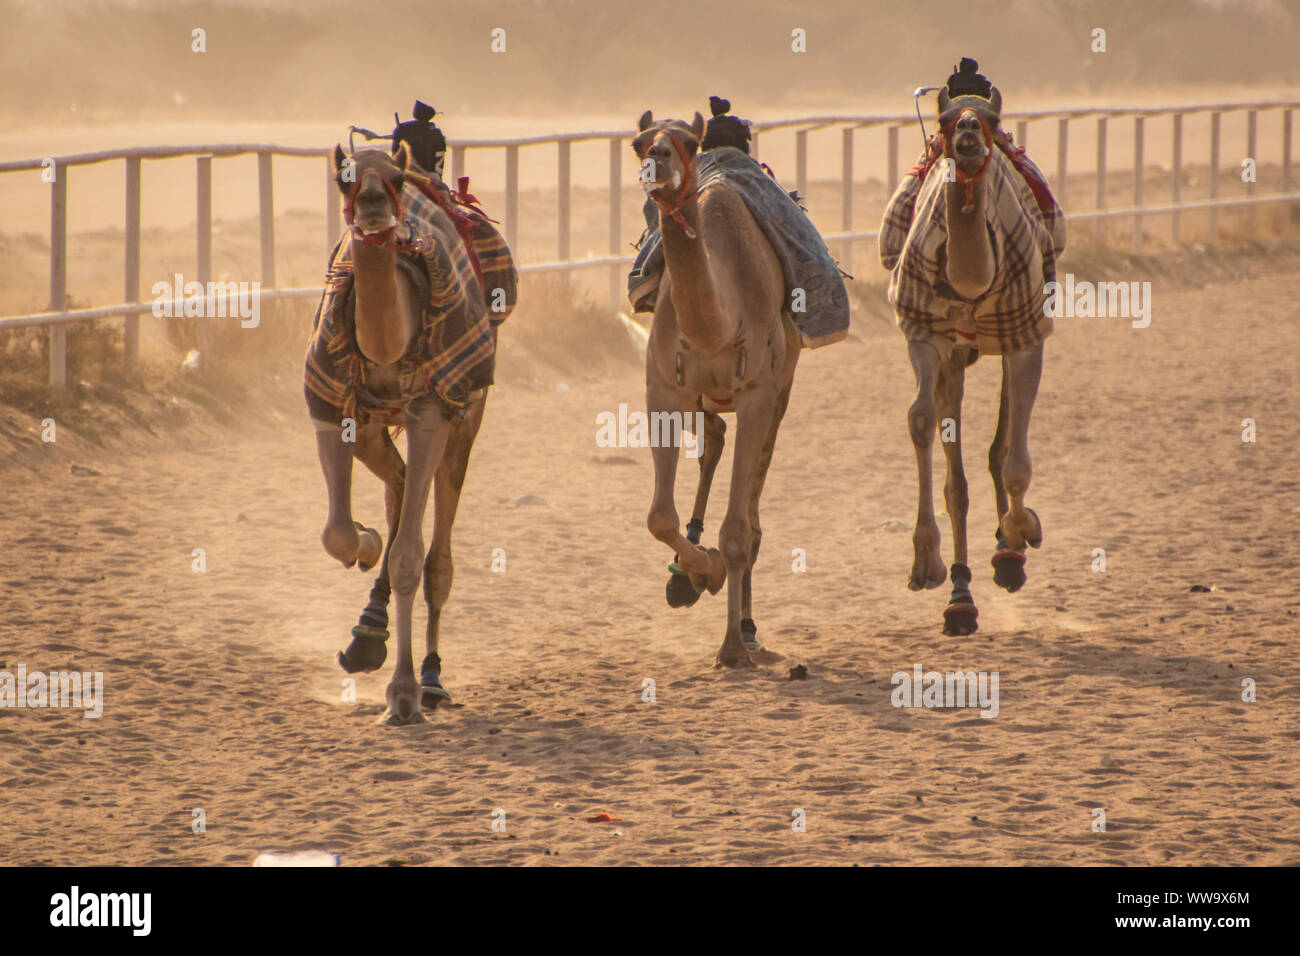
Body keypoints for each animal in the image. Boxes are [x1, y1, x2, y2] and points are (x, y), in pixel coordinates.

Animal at [312, 143, 490, 725]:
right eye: (344, 180)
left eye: (394, 176)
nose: (371, 204)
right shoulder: (330, 408)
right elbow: (337, 532)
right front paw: (365, 544)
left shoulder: (430, 411)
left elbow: (412, 557)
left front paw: (405, 695)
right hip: (373, 427)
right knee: (398, 482)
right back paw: (366, 634)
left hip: (466, 415)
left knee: (438, 551)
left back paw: (432, 678)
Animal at [634, 110, 800, 668]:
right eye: (639, 141)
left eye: (688, 141)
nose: (657, 158)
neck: (714, 326)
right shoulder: (663, 389)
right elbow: (659, 517)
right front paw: (699, 570)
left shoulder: (758, 392)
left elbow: (737, 532)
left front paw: (730, 647)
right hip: (705, 398)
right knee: (713, 441)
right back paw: (685, 577)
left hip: (781, 387)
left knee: (752, 511)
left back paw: (746, 628)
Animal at [883, 75, 1062, 636]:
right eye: (943, 122)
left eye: (991, 120)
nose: (965, 135)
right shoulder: (925, 335)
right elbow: (920, 422)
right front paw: (926, 565)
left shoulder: (1027, 332)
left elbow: (1015, 462)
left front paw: (1023, 531)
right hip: (956, 357)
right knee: (957, 473)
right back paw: (961, 600)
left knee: (1001, 446)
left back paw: (1008, 555)